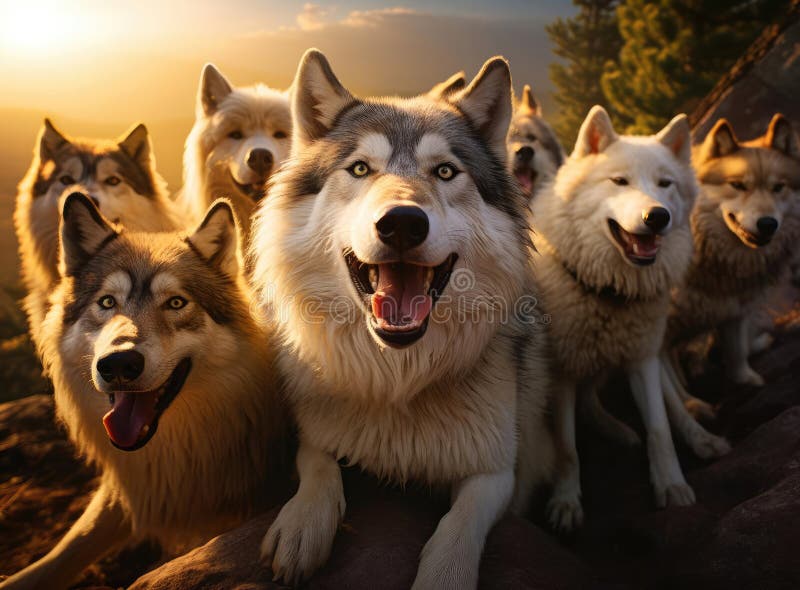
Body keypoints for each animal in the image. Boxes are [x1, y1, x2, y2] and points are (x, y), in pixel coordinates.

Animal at [0, 195, 286, 590]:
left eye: (176, 303)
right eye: (107, 302)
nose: (119, 364)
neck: (181, 452)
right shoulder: (135, 486)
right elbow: (61, 554)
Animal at [249, 49, 554, 588]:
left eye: (446, 172)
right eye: (359, 168)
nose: (403, 223)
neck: (397, 377)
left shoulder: (495, 470)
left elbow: (458, 527)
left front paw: (443, 574)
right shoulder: (312, 432)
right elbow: (318, 467)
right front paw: (301, 526)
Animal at [531, 106, 730, 532]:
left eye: (665, 184)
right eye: (619, 181)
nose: (657, 216)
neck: (609, 292)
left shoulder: (641, 360)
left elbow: (659, 428)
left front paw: (672, 486)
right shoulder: (563, 370)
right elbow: (568, 448)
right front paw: (566, 502)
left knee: (668, 403)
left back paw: (699, 436)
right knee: (588, 403)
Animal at [665, 115, 800, 400]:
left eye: (778, 188)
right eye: (737, 185)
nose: (768, 224)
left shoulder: (735, 308)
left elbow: (737, 351)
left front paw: (746, 380)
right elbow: (668, 388)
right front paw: (692, 405)